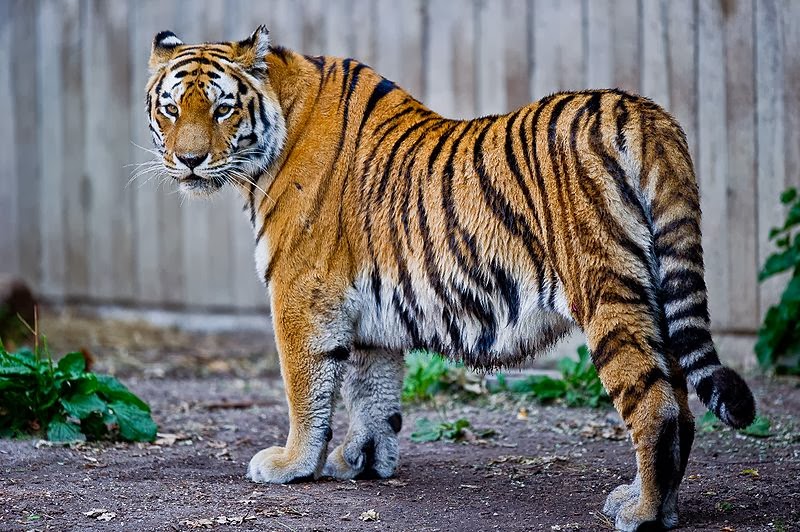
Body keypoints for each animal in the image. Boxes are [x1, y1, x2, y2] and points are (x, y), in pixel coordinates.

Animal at [144, 25, 756, 531]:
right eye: (171, 108)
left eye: (222, 109)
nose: (189, 160)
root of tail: (644, 112)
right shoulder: (368, 312)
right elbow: (372, 392)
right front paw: (362, 462)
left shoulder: (300, 294)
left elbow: (306, 389)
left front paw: (291, 463)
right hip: (656, 296)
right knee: (681, 405)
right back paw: (658, 505)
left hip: (607, 293)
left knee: (655, 406)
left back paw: (641, 513)